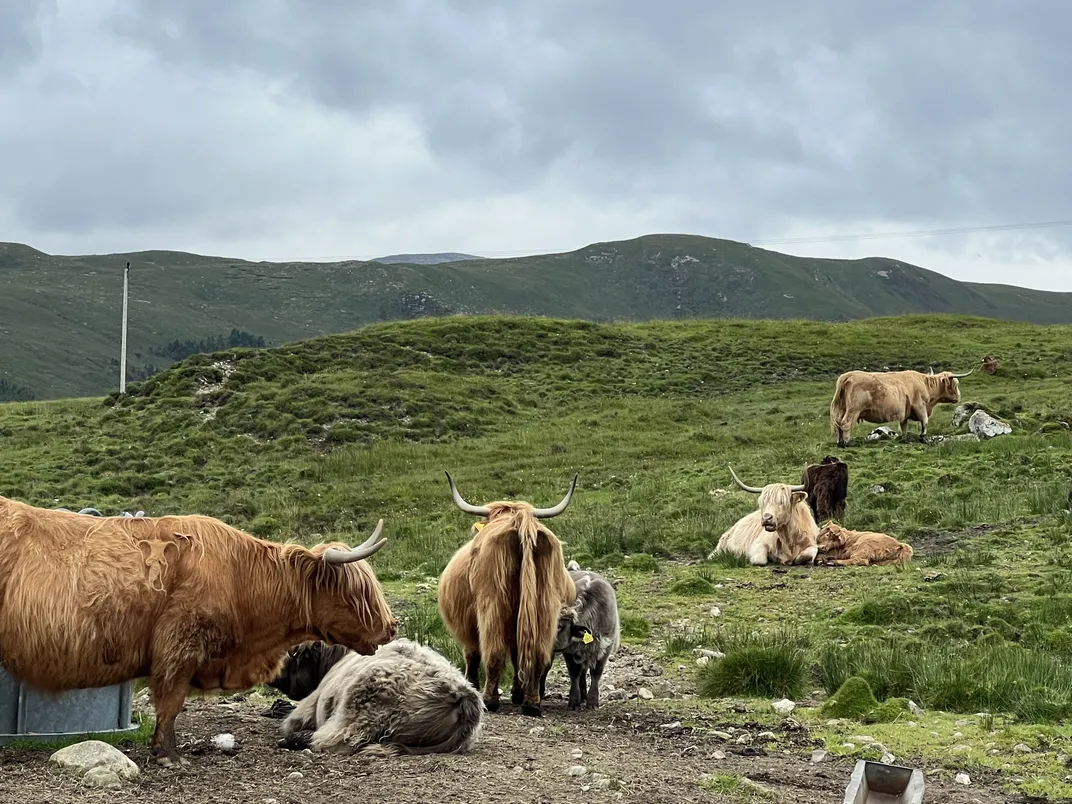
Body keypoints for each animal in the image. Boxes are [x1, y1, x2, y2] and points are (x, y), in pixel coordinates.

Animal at [273, 638, 483, 757]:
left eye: (295, 656)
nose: (275, 677)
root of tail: (464, 694)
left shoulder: (305, 710)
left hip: (358, 714)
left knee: (337, 740)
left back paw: (298, 740)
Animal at [437, 472, 578, 718]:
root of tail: (521, 523)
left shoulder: (468, 625)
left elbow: (473, 654)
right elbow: (517, 653)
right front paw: (516, 693)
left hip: (492, 604)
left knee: (493, 652)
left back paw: (490, 700)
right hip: (544, 607)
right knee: (537, 652)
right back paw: (531, 703)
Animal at [539, 568, 621, 711]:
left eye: (559, 626)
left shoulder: (605, 648)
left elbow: (596, 673)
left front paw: (593, 701)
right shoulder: (569, 651)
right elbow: (574, 673)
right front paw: (574, 700)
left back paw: (584, 695)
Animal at [829, 367, 974, 447]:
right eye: (956, 383)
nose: (958, 397)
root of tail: (847, 376)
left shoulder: (905, 411)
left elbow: (904, 426)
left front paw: (904, 439)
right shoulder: (920, 406)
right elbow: (925, 422)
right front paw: (922, 437)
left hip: (842, 408)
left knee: (839, 424)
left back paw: (840, 442)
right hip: (854, 410)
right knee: (846, 424)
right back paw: (847, 443)